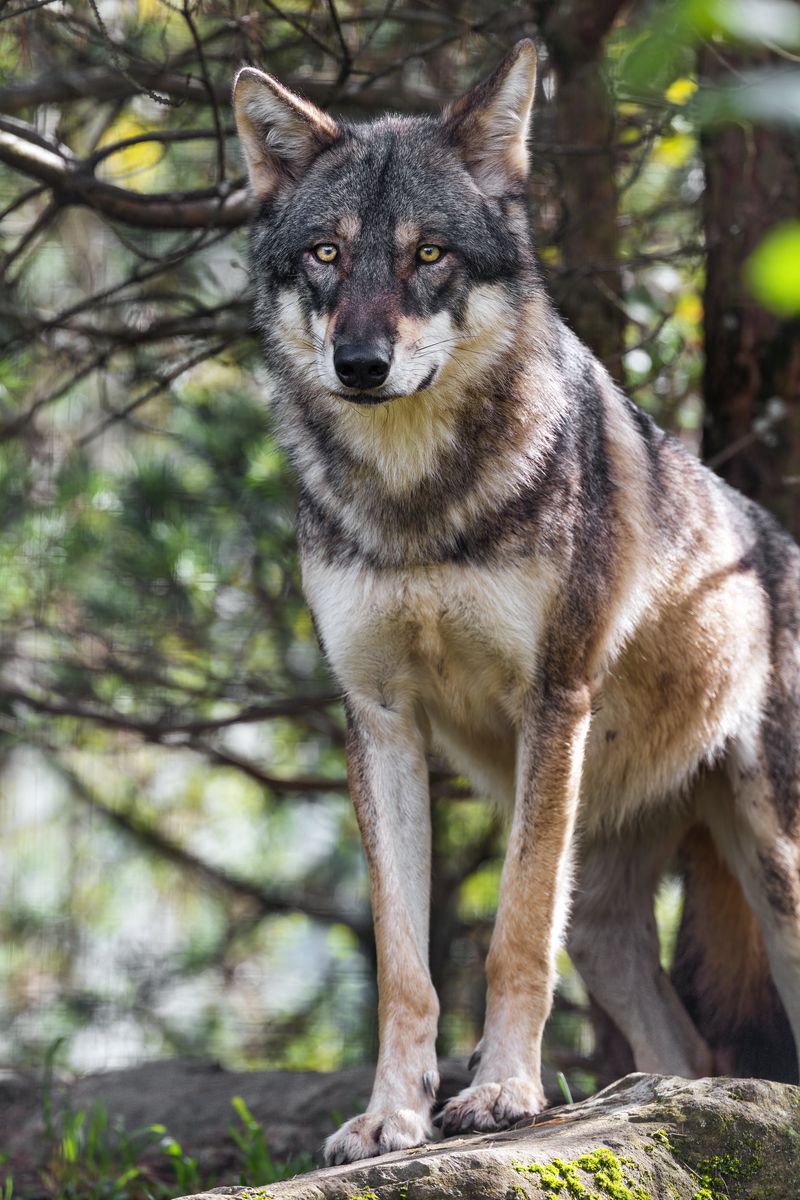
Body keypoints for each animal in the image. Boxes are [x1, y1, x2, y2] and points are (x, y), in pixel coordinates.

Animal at [232, 40, 800, 1165]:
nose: (360, 364)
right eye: (325, 255)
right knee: (687, 1047)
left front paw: (501, 1096)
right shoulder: (378, 720)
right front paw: (393, 1116)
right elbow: (405, 966)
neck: (416, 505)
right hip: (611, 910)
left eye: (429, 255)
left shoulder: (553, 699)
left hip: (773, 863)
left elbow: (512, 937)